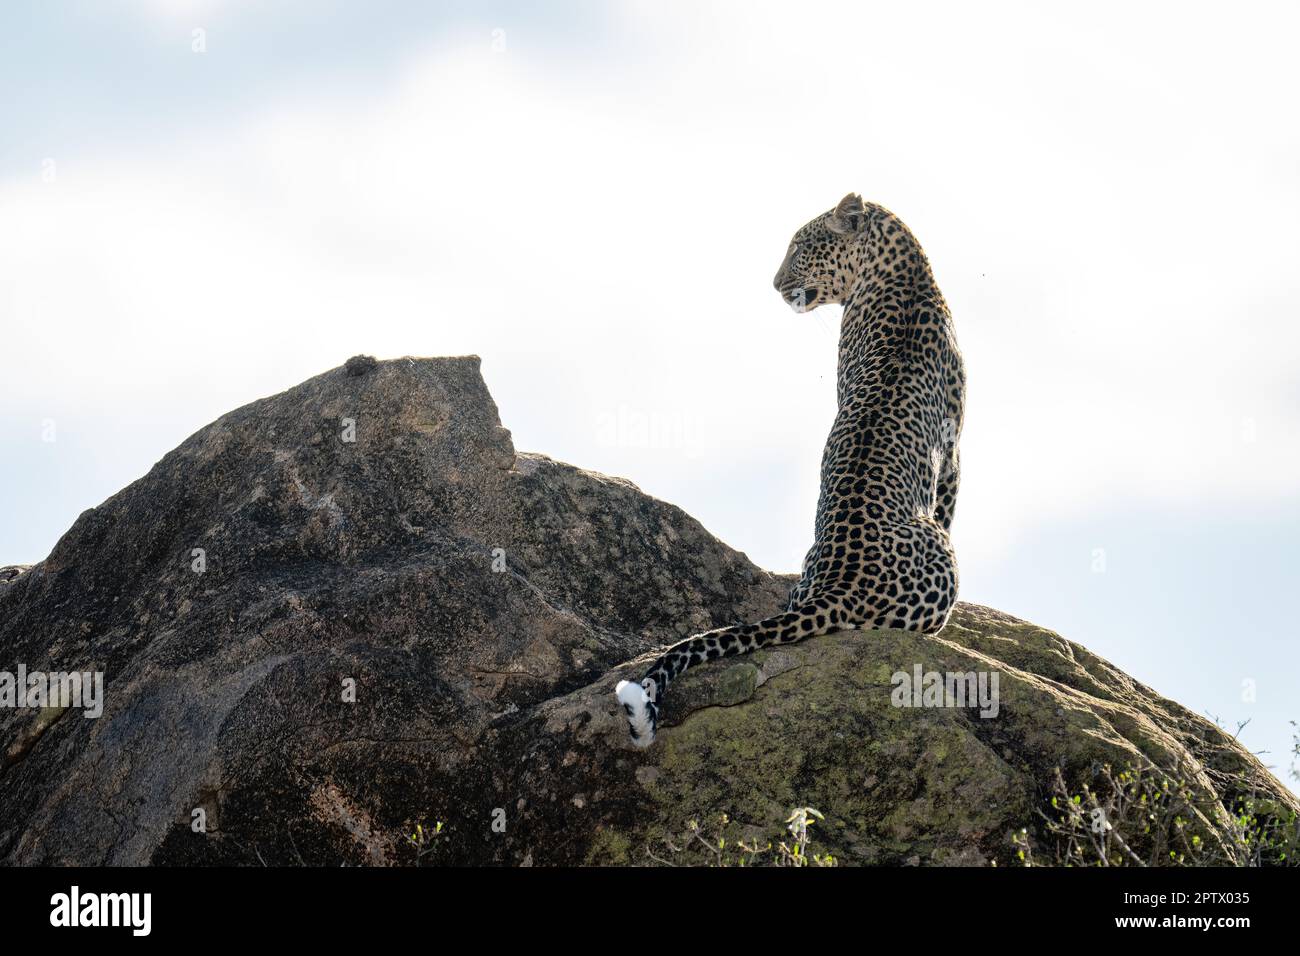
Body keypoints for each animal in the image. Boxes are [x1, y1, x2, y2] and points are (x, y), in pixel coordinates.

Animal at [616, 193, 965, 748]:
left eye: (801, 246)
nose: (776, 283)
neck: (904, 273)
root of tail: (837, 588)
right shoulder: (952, 450)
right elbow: (950, 507)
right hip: (939, 555)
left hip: (805, 574)